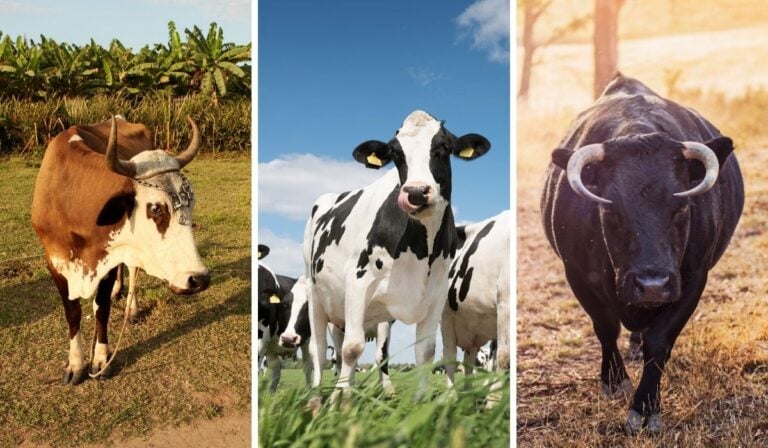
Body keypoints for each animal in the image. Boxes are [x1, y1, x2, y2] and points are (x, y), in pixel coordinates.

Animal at [31, 115, 210, 385]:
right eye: (156, 209)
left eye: (191, 205)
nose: (199, 279)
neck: (71, 197)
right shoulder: (54, 261)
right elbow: (72, 312)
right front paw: (75, 364)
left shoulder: (107, 260)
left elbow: (101, 309)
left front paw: (101, 360)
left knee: (133, 269)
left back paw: (131, 307)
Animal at [304, 110, 491, 400]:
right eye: (395, 153)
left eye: (443, 147)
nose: (415, 192)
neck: (421, 249)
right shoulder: (358, 282)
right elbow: (352, 348)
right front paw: (341, 402)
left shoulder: (436, 295)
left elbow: (425, 351)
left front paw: (420, 401)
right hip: (316, 295)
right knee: (321, 350)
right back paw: (317, 398)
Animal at [441, 210, 510, 391]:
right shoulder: (505, 301)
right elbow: (505, 355)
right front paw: (495, 394)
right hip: (446, 316)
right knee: (450, 355)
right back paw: (450, 395)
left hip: (473, 329)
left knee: (469, 361)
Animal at [540, 74, 744, 433]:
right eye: (610, 211)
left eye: (682, 207)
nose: (651, 284)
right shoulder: (576, 274)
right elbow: (605, 327)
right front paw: (614, 381)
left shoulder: (692, 279)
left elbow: (659, 341)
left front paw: (646, 407)